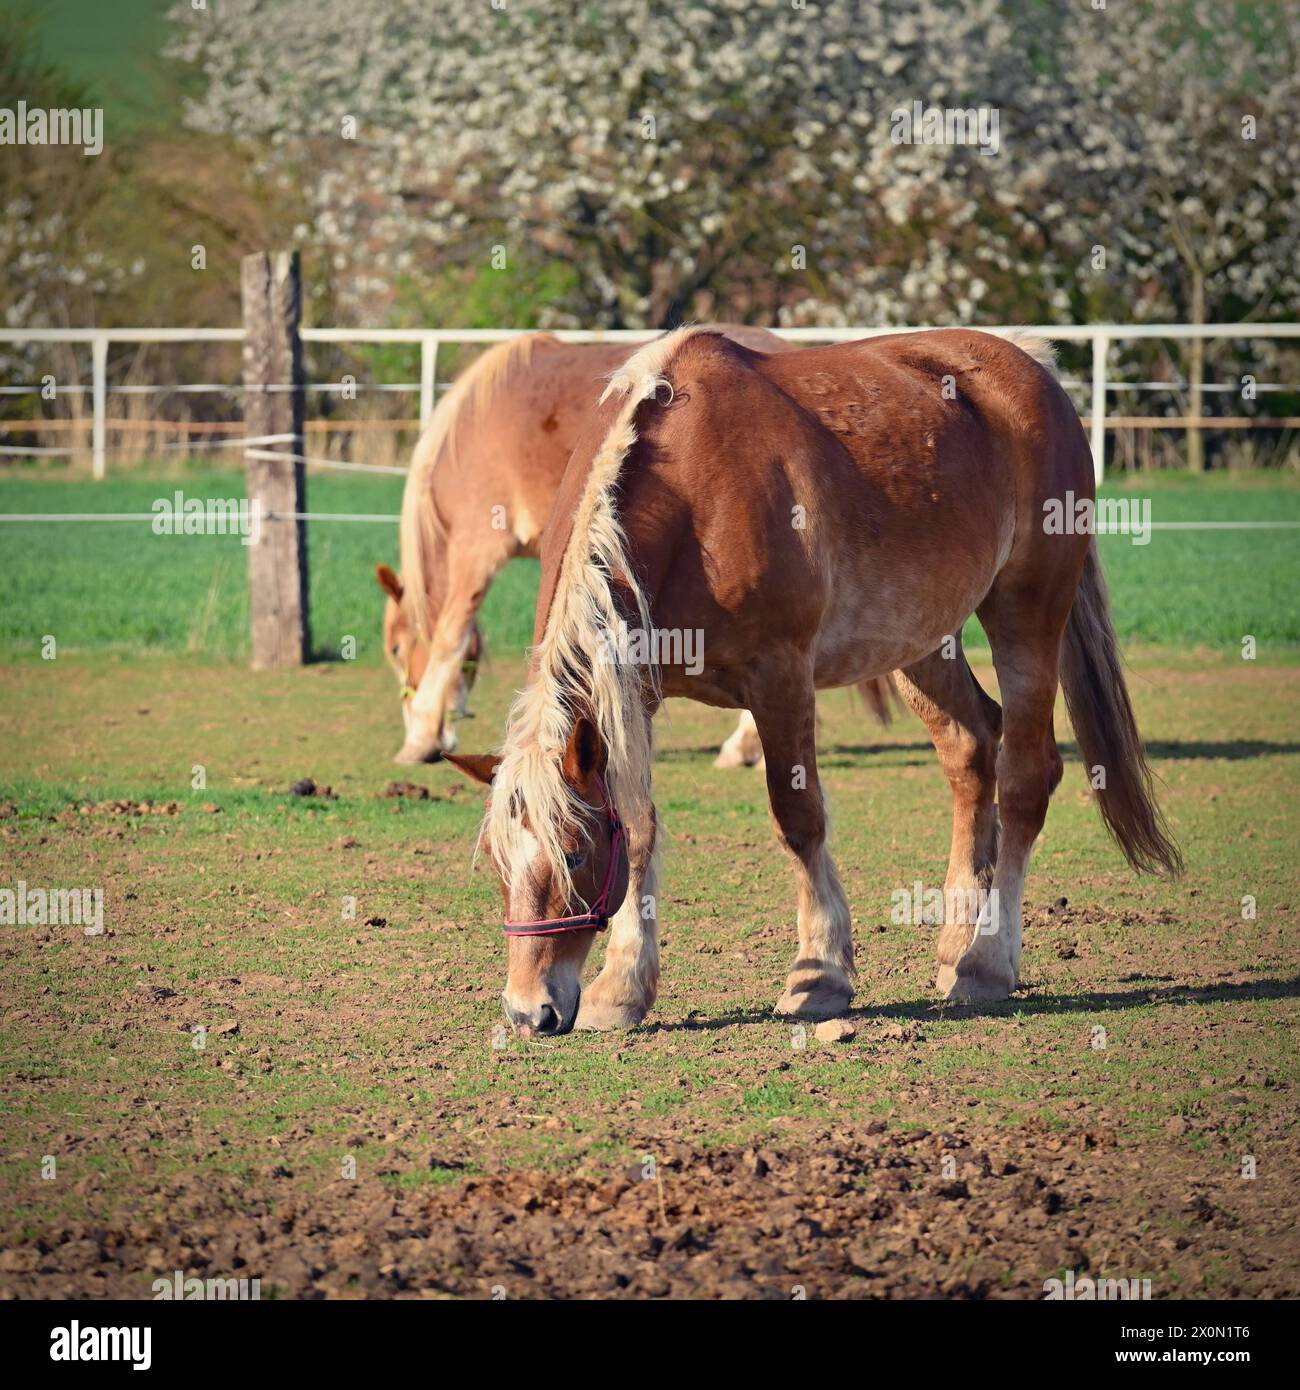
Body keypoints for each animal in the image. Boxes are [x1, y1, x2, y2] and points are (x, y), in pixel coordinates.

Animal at [373, 326, 894, 764]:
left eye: (396, 649)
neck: (468, 436)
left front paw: (419, 739)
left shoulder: (476, 548)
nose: (444, 732)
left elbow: (449, 638)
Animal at [445, 326, 1181, 1036]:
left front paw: (818, 973)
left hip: (1026, 613)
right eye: (499, 865)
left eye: (573, 856)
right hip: (919, 640)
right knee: (972, 751)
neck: (691, 494)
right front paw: (623, 987)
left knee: (1026, 776)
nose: (529, 1011)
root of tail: (1032, 369)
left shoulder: (781, 677)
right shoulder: (635, 698)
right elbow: (641, 825)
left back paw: (986, 961)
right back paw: (954, 946)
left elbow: (797, 818)